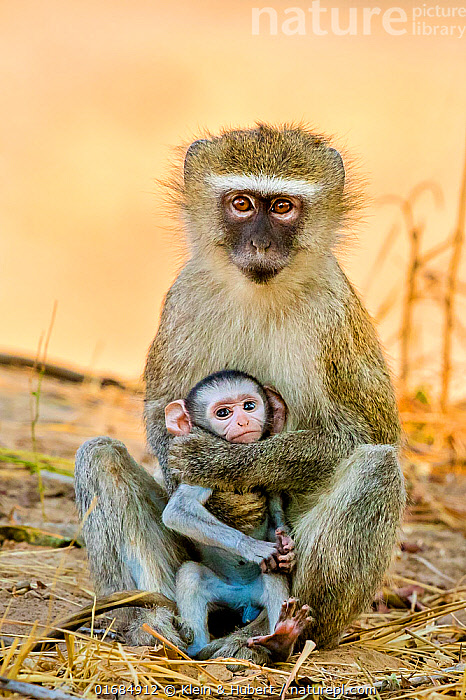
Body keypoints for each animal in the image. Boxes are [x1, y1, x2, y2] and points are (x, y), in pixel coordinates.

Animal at [162, 370, 310, 659]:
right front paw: (253, 547)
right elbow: (178, 510)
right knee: (190, 574)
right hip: (223, 592)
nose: (243, 421)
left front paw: (287, 545)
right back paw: (196, 648)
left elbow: (275, 509)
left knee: (274, 574)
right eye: (223, 413)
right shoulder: (201, 470)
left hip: (254, 593)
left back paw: (282, 638)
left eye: (249, 406)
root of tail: (243, 600)